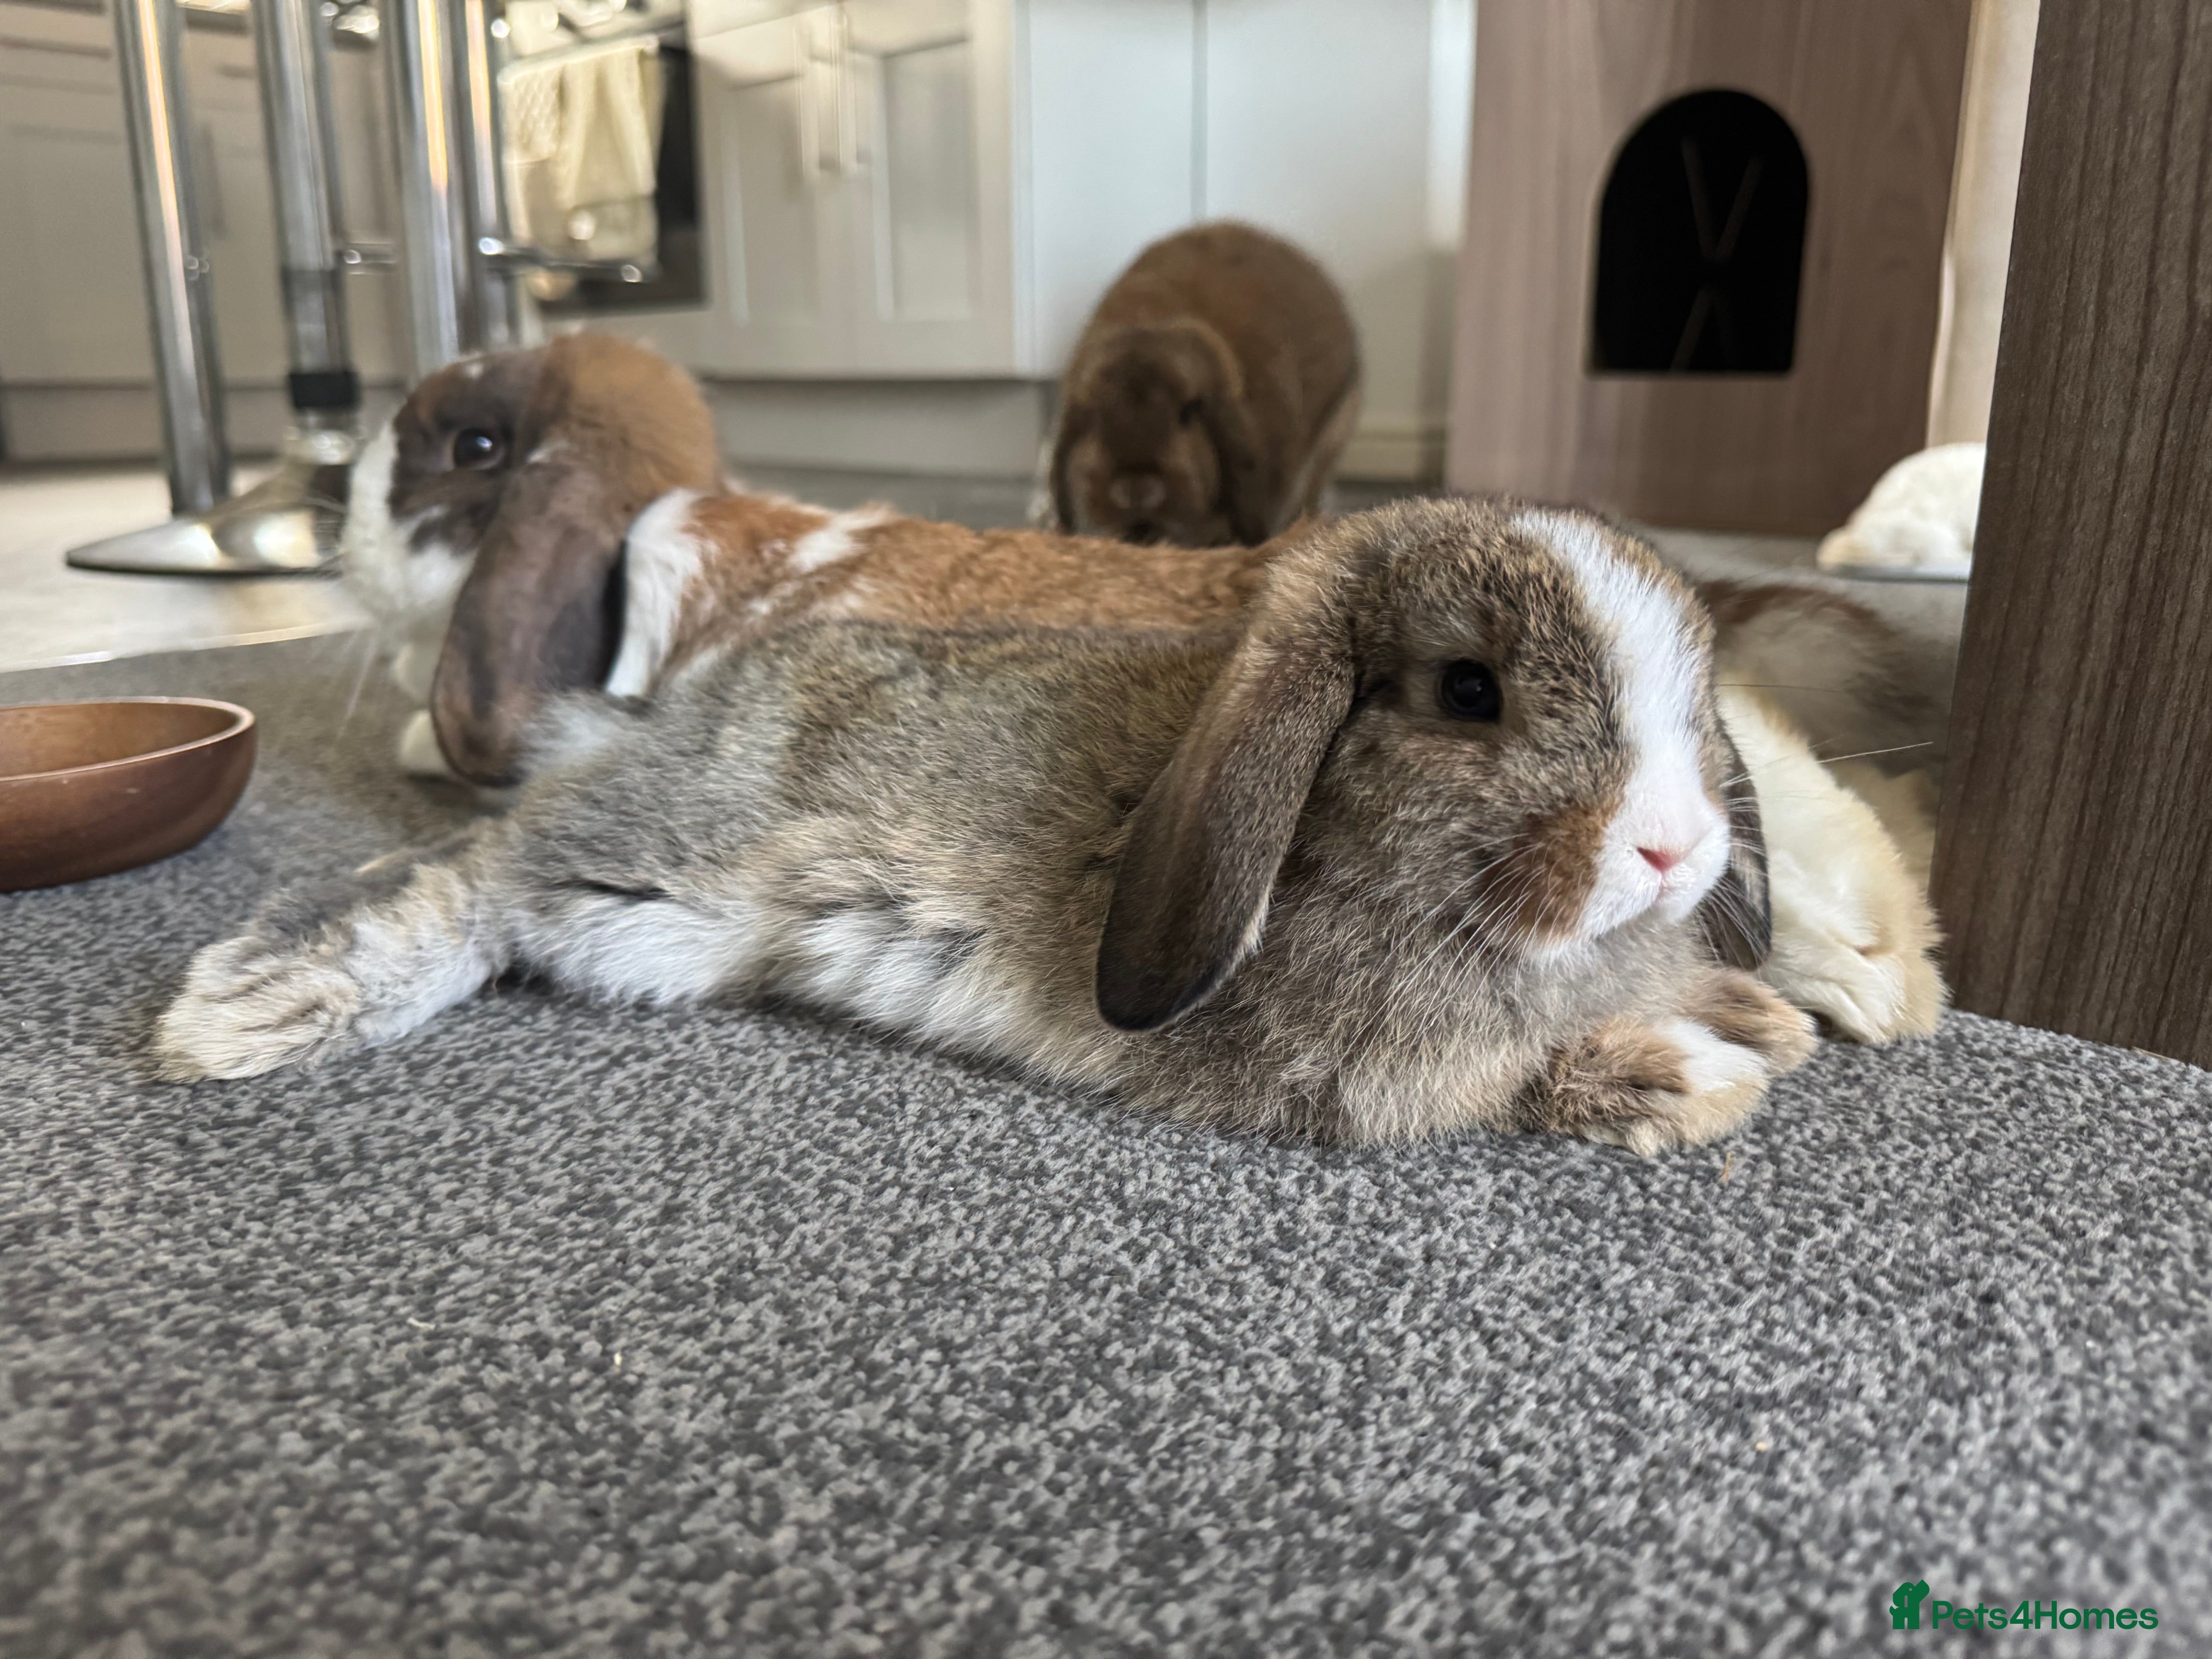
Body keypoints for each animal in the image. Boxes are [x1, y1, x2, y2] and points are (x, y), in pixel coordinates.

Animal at [158, 498, 1818, 1154]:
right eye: (1468, 691)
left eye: (1695, 690)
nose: (1676, 848)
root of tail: (674, 706)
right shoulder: (1373, 1070)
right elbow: (1530, 1071)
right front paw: (1694, 1075)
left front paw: (1764, 1018)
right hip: (648, 894)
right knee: (469, 871)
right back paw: (250, 1008)